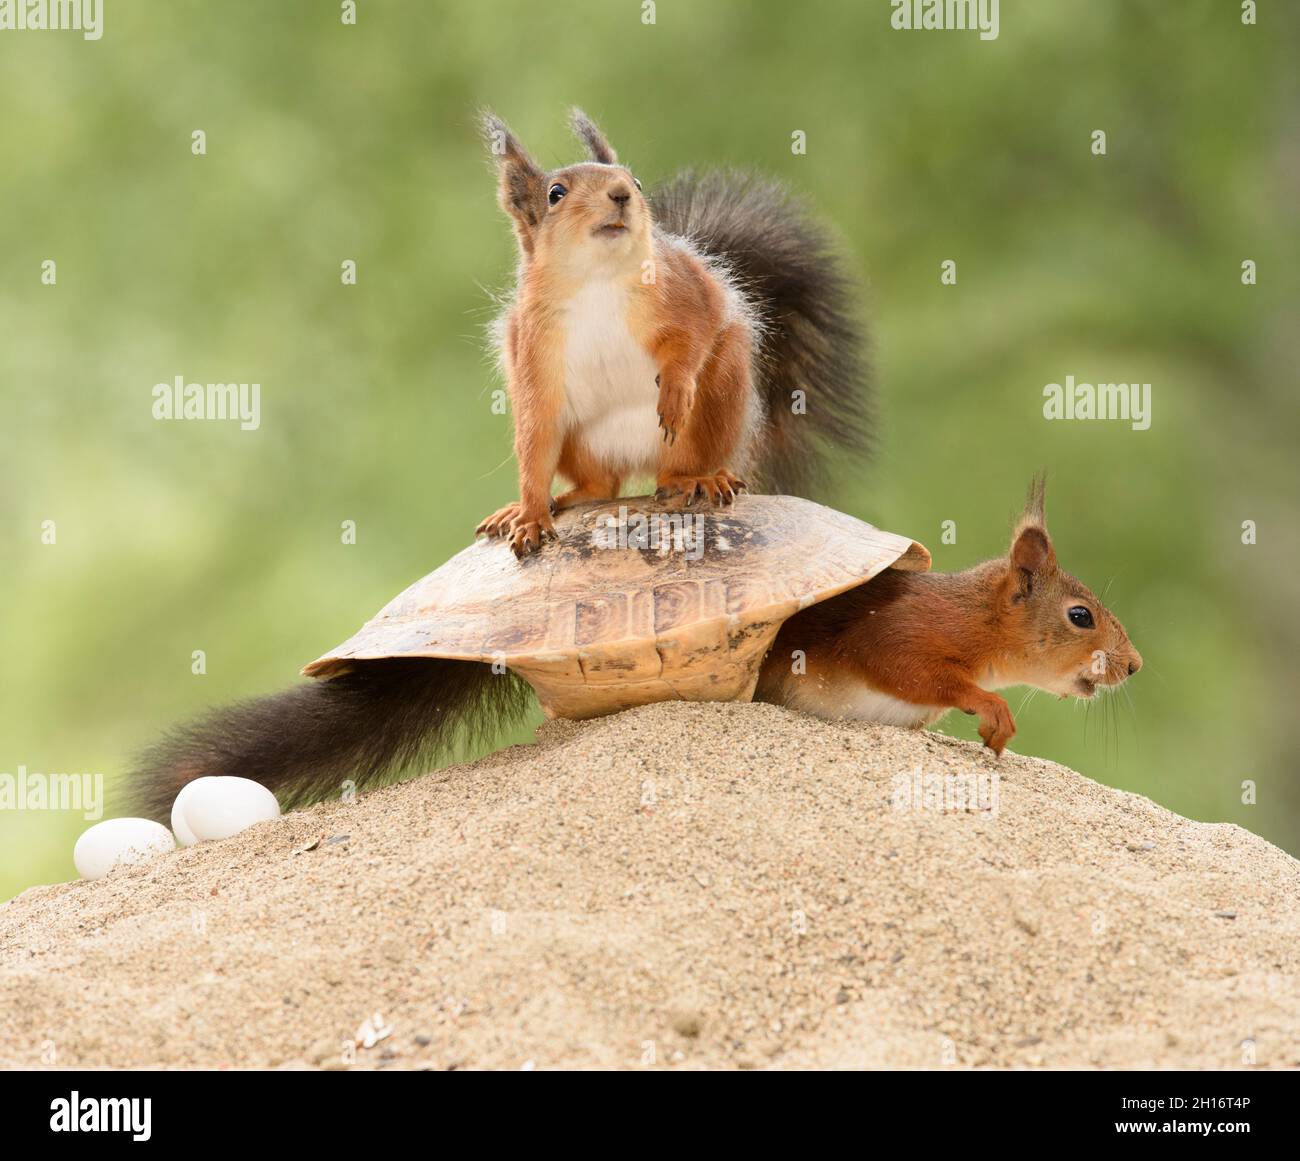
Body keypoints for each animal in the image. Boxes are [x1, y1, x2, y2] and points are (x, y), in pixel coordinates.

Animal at [474, 108, 870, 556]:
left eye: (637, 182)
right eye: (555, 193)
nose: (621, 194)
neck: (598, 279)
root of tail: (637, 459)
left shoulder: (685, 290)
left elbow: (694, 333)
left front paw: (676, 390)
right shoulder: (533, 346)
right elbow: (536, 432)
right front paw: (530, 515)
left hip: (714, 408)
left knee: (678, 469)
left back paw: (700, 477)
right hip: (581, 445)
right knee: (603, 485)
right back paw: (557, 499)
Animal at [754, 477, 1142, 753]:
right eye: (1081, 616)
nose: (1134, 665)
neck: (976, 618)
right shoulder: (898, 629)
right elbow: (907, 667)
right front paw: (992, 707)